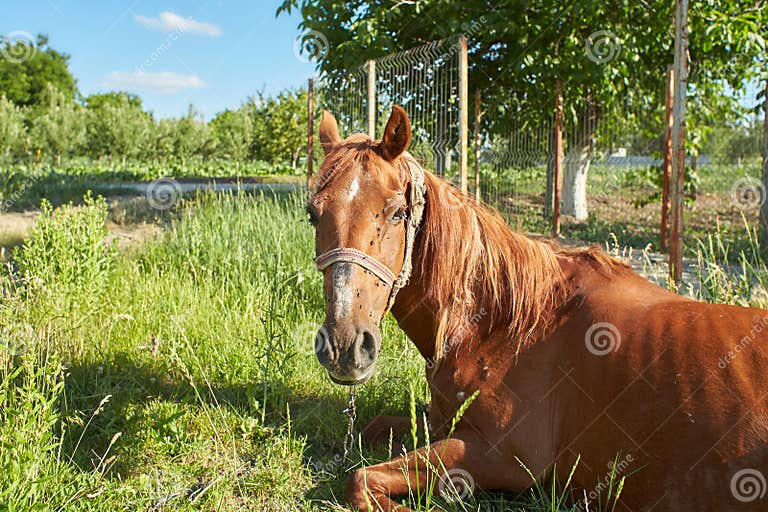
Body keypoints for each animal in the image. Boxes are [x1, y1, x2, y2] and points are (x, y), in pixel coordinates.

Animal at [308, 105, 768, 511]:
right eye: (313, 214)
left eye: (398, 212)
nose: (345, 345)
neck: (507, 324)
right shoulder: (442, 423)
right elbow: (373, 432)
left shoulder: (501, 458)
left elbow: (360, 480)